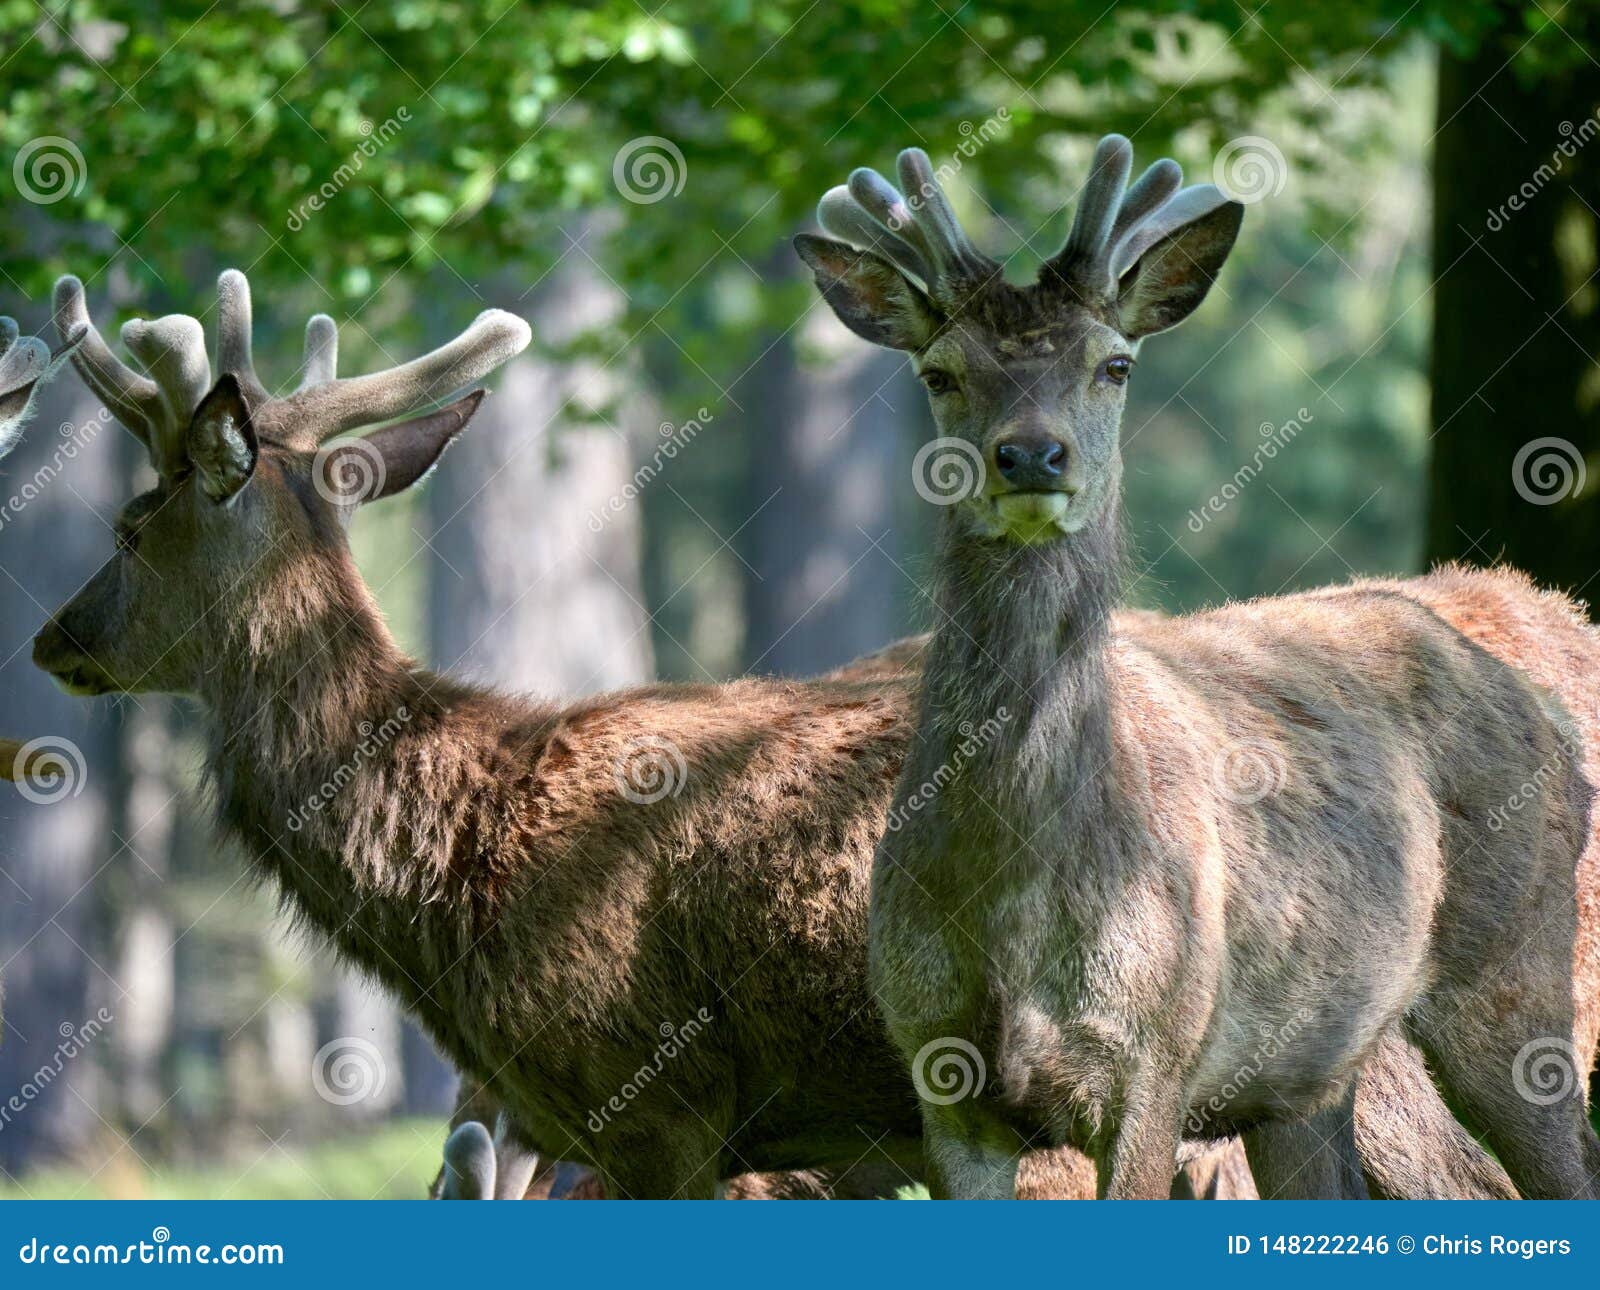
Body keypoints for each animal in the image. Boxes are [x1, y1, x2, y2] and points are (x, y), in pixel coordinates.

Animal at [796, 135, 1600, 1199]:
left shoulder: (1159, 1052)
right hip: (1316, 1066)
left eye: (1114, 363)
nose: (1032, 456)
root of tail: (1545, 701)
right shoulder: (940, 1071)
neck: (1016, 906)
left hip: (1520, 967)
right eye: (938, 372)